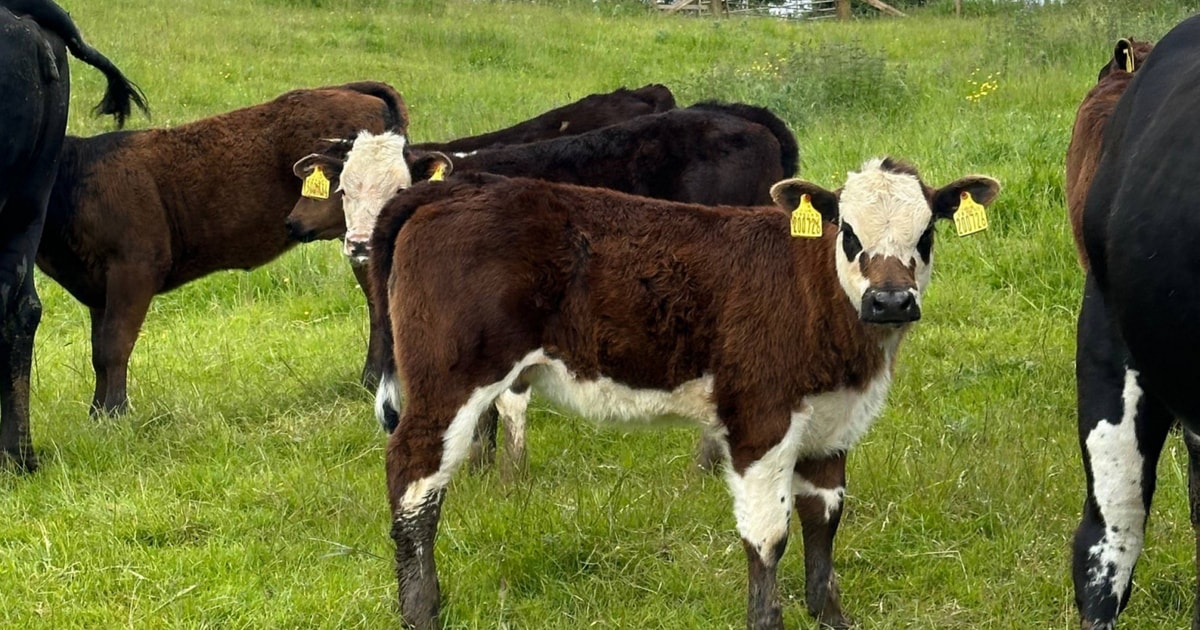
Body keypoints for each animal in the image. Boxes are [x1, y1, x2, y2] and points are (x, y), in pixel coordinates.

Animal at [35, 82, 408, 416]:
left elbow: (115, 345)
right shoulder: (97, 287)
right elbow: (99, 351)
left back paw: (371, 380)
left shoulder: (135, 268)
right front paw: (97, 411)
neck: (76, 178)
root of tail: (350, 89)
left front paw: (114, 414)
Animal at [369, 162, 1000, 629]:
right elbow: (768, 537)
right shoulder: (759, 420)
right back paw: (421, 612)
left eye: (927, 233)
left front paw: (830, 616)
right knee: (414, 481)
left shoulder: (832, 426)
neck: (814, 296)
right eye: (848, 232)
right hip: (449, 382)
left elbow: (823, 524)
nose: (890, 301)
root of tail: (452, 188)